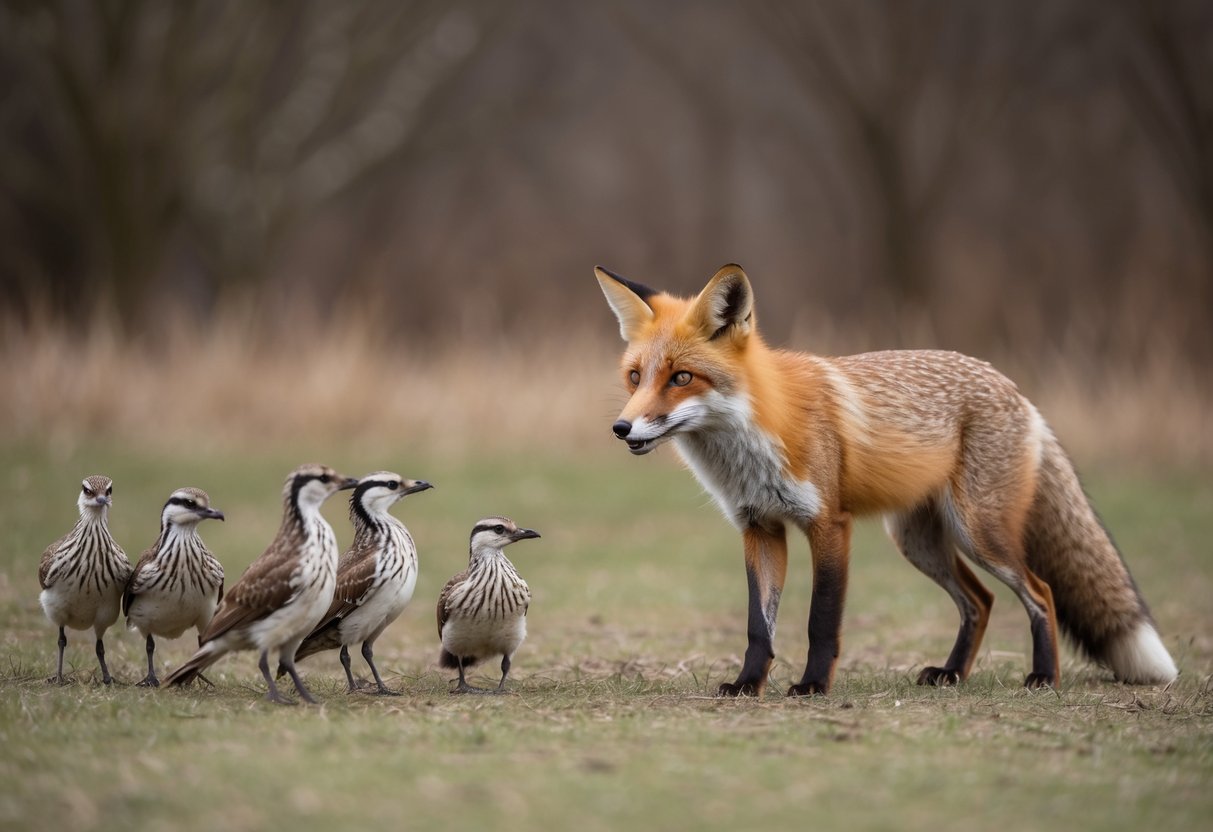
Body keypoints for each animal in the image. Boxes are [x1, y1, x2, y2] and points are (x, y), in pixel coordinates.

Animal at [595, 263, 1178, 696]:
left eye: (682, 377)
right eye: (635, 377)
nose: (622, 428)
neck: (754, 436)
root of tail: (1015, 388)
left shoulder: (829, 524)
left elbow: (821, 619)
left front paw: (812, 686)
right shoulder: (759, 527)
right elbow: (759, 626)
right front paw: (747, 685)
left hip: (980, 534)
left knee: (1042, 592)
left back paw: (1043, 676)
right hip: (918, 542)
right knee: (981, 601)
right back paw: (951, 674)